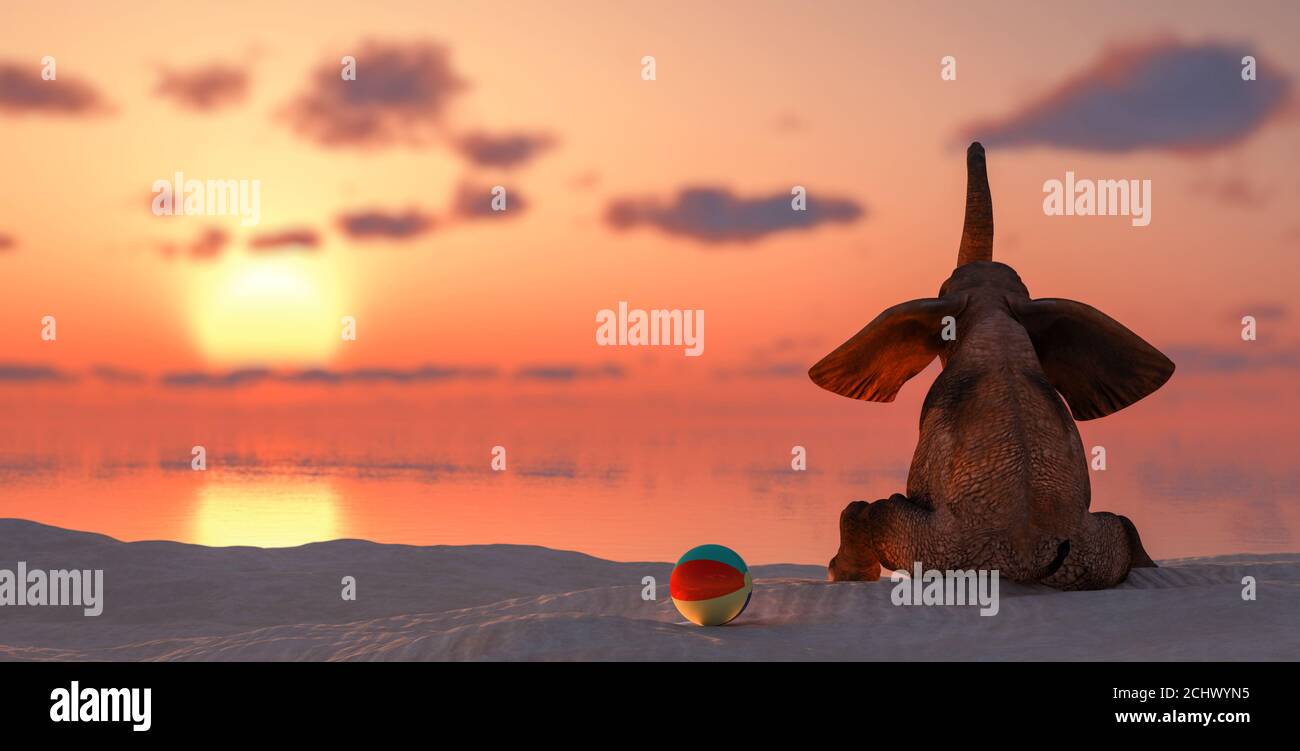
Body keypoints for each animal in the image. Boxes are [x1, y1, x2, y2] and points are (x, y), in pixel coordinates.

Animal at [810, 142, 1173, 591]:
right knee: (1120, 526)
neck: (993, 312)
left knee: (879, 512)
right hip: (1092, 550)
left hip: (946, 549)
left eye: (943, 288)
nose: (975, 145)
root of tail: (1032, 556)